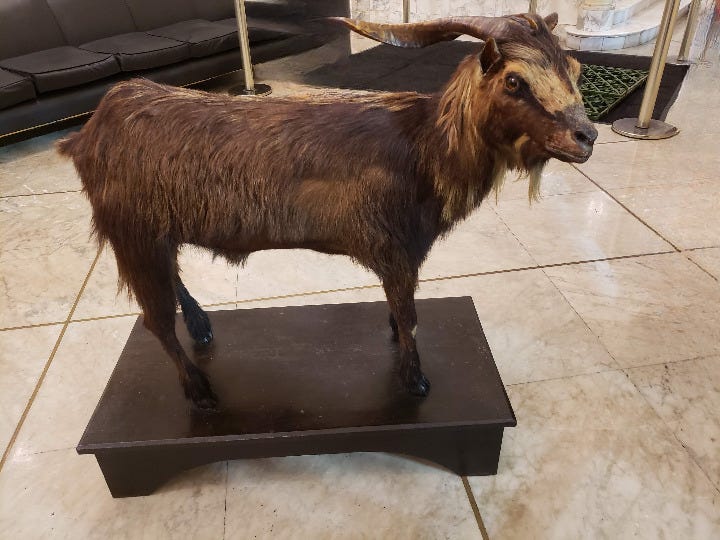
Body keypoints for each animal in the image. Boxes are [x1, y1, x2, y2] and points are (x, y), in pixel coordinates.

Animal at [57, 13, 596, 410]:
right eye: (514, 80)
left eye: (574, 70)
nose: (586, 136)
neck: (424, 146)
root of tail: (88, 131)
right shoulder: (397, 248)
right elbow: (410, 314)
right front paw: (415, 381)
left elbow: (400, 312)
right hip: (132, 232)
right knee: (155, 320)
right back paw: (200, 392)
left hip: (155, 231)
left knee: (172, 283)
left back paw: (202, 326)